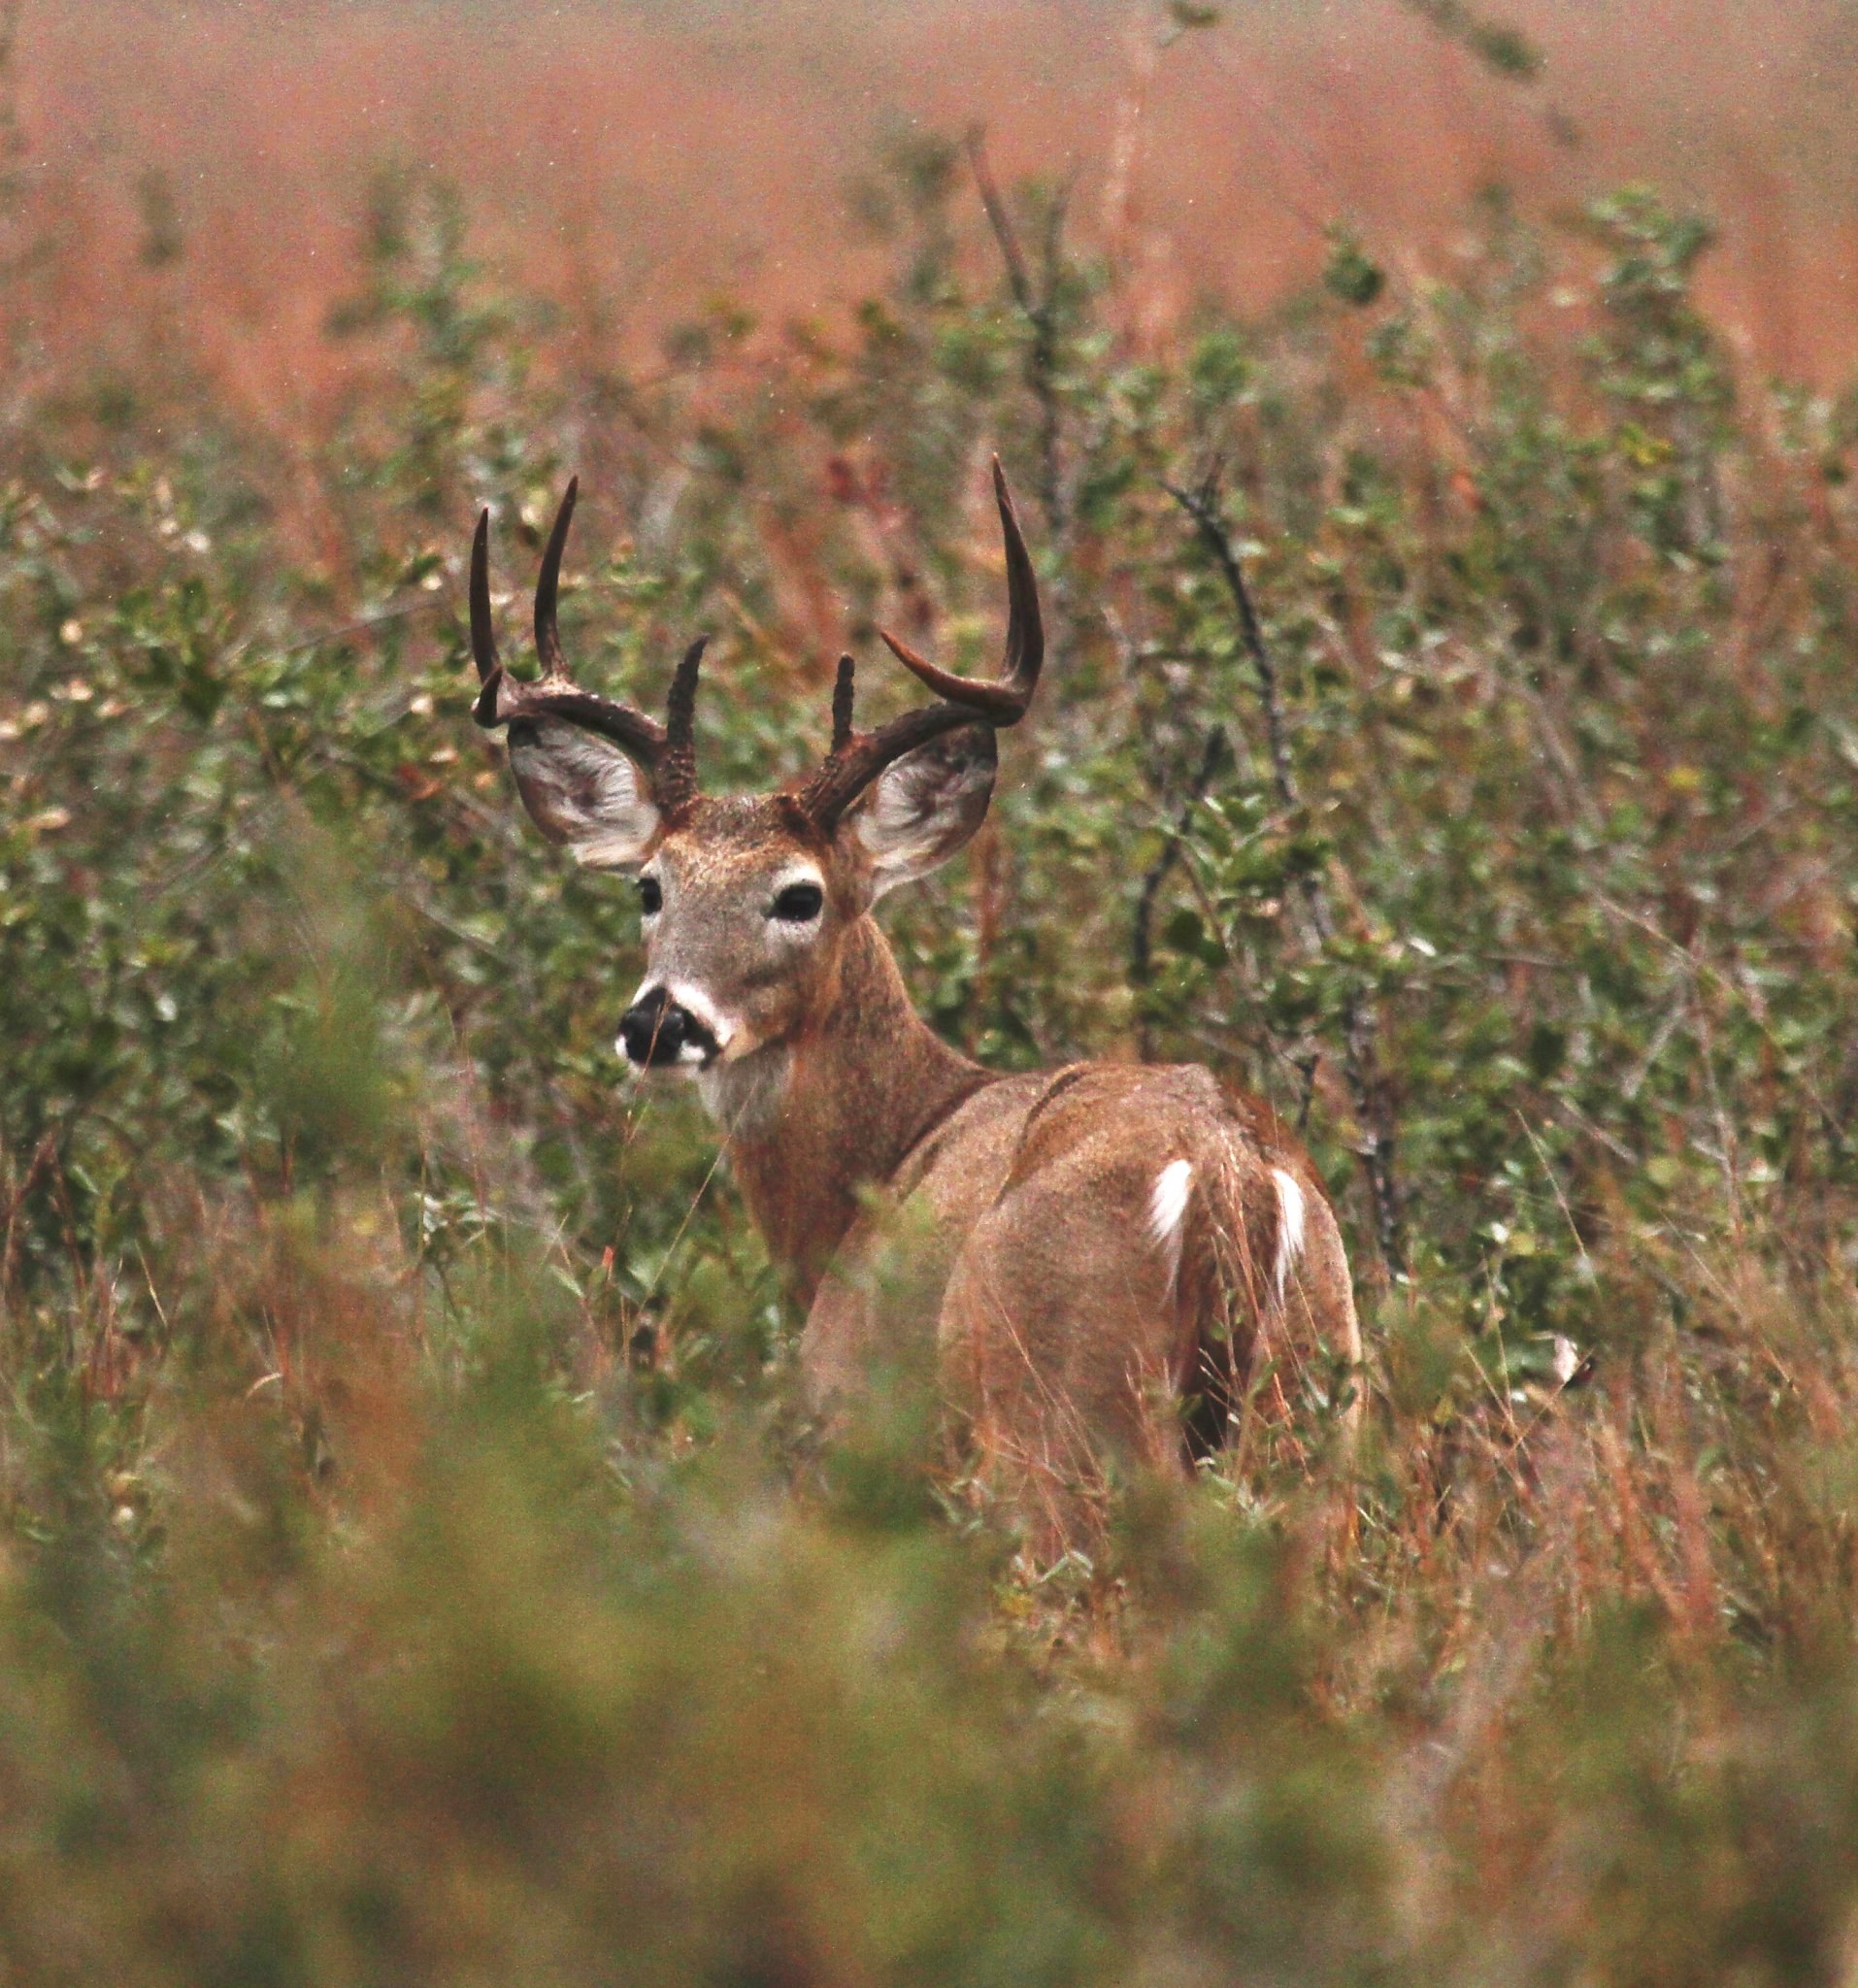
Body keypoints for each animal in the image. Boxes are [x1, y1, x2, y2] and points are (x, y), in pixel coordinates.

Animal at [466, 462, 1361, 1544]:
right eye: (650, 885)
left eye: (800, 895)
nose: (660, 1022)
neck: (879, 1159)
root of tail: (1230, 1177)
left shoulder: (849, 1420)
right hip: (1313, 1418)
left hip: (1056, 1405)